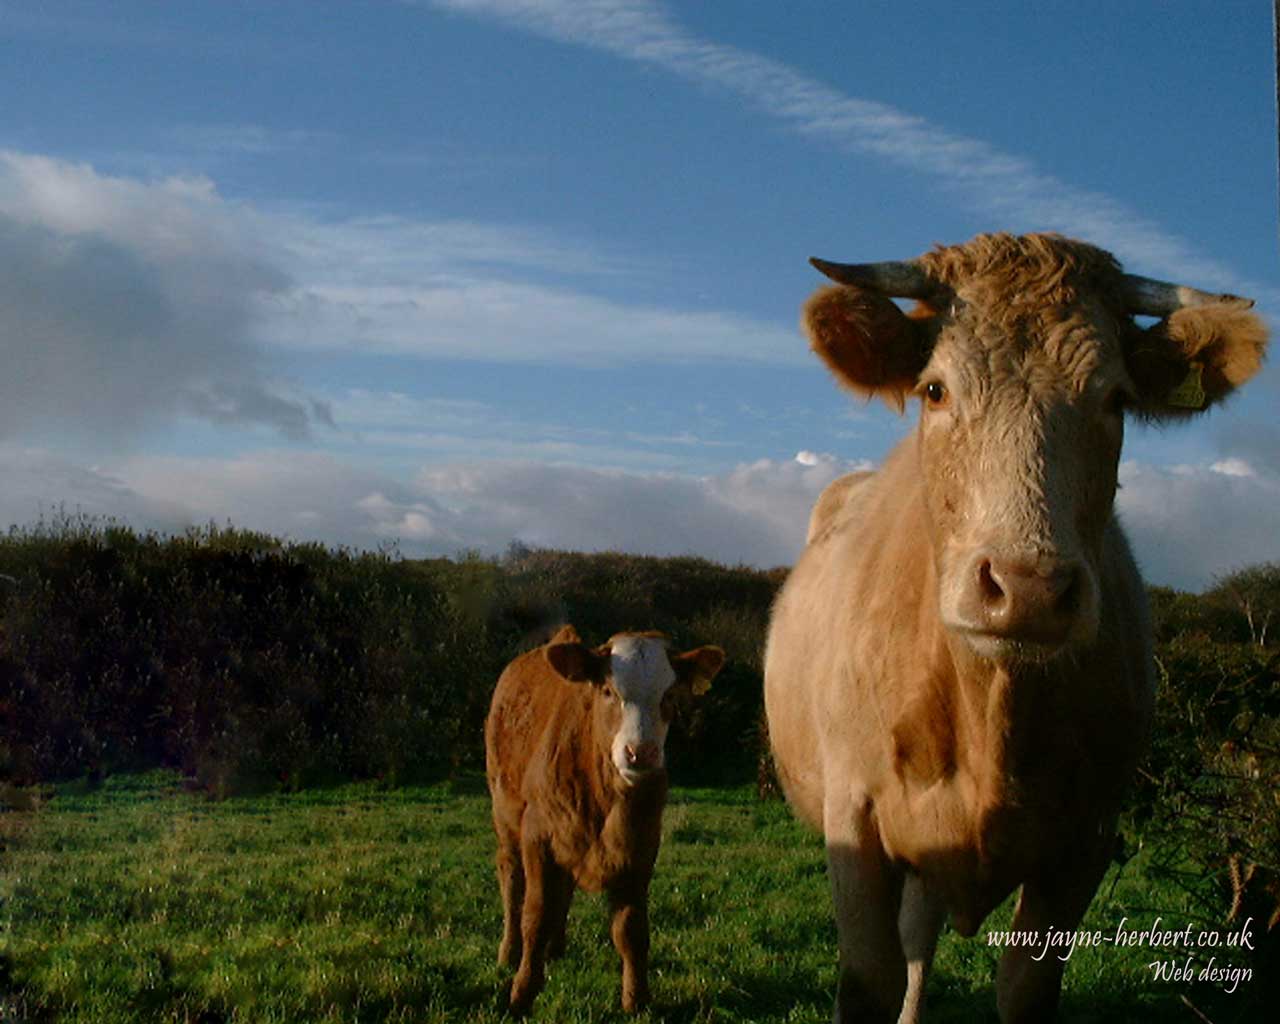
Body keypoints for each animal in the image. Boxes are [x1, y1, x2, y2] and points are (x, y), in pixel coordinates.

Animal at [485, 624, 725, 1015]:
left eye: (669, 694)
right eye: (609, 691)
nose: (640, 752)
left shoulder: (641, 843)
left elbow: (631, 928)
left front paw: (637, 999)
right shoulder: (538, 835)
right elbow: (534, 914)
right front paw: (521, 993)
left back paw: (555, 948)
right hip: (505, 813)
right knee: (511, 878)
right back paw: (509, 950)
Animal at [764, 232, 1267, 1023]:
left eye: (1117, 398)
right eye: (935, 390)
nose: (1027, 587)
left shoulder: (1087, 836)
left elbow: (1024, 985)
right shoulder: (854, 820)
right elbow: (869, 978)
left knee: (921, 933)